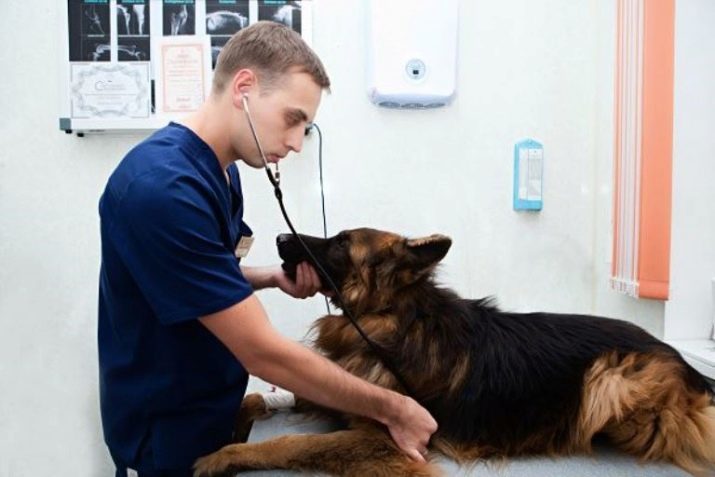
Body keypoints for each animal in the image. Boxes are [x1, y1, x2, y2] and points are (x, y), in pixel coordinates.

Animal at [194, 228, 715, 476]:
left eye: (342, 242)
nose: (280, 237)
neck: (390, 315)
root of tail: (683, 363)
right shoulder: (347, 388)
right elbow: (261, 396)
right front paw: (236, 421)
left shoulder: (383, 437)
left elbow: (291, 443)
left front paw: (223, 455)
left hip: (610, 381)